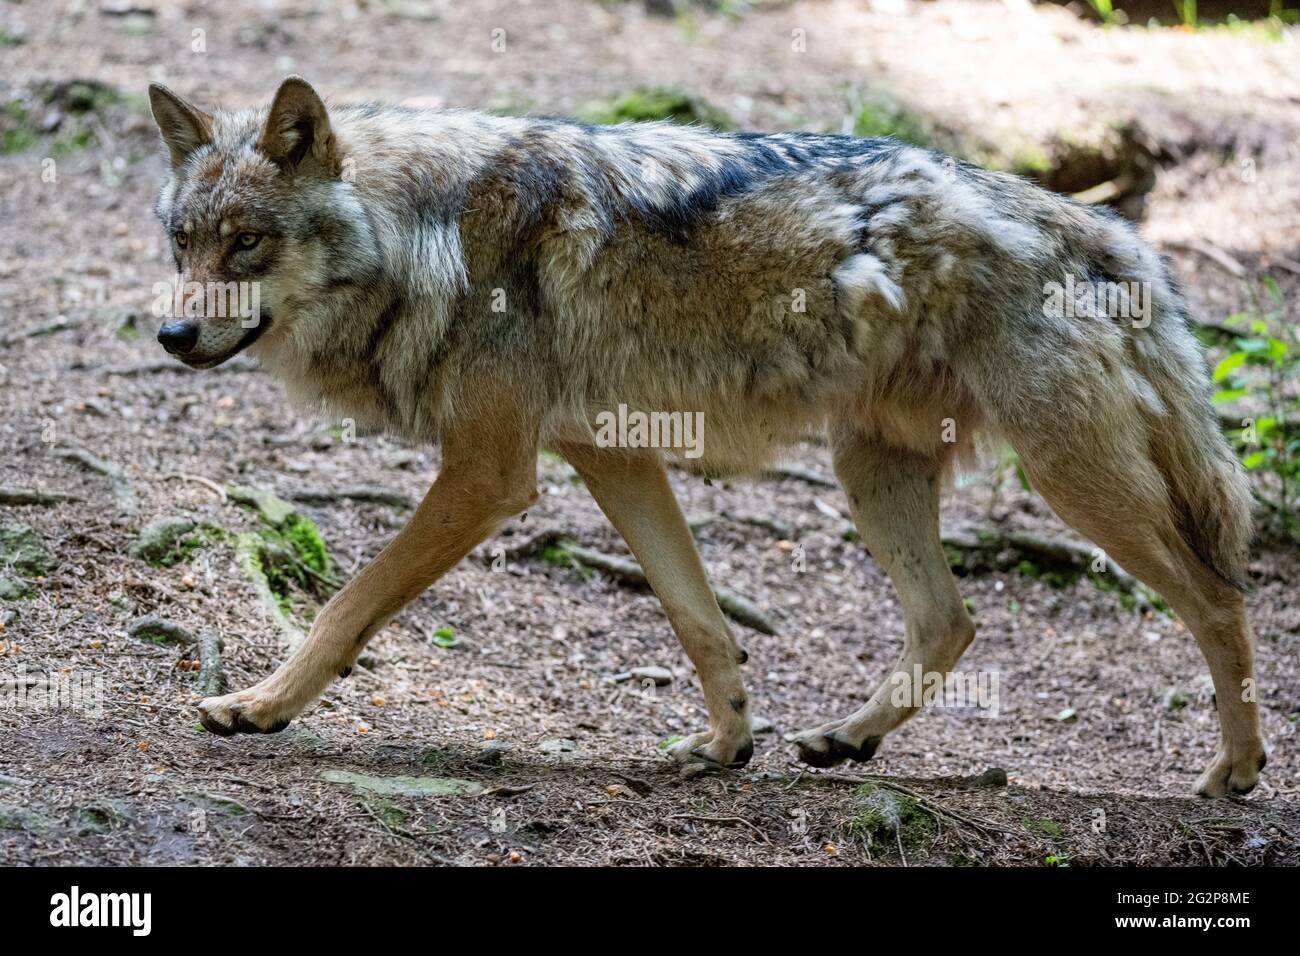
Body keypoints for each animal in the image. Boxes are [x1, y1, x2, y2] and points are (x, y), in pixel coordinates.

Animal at [147, 76, 1265, 797]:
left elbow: (348, 603)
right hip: (871, 468)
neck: (427, 233)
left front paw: (259, 703)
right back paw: (843, 741)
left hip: (1067, 479)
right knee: (950, 622)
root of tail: (1103, 227)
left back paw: (1235, 772)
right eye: (182, 242)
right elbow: (699, 620)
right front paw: (730, 742)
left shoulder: (490, 475)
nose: (170, 335)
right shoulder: (610, 453)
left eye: (247, 242)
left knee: (1219, 598)